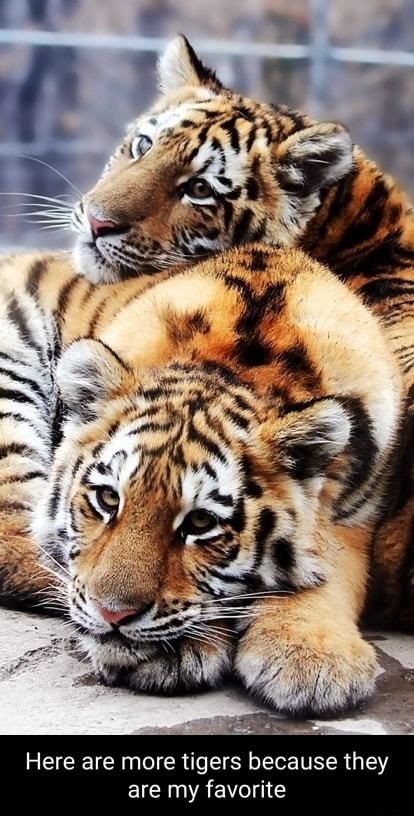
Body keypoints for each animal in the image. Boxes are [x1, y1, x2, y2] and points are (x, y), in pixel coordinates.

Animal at [0, 244, 407, 715]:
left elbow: (332, 571)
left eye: (199, 523)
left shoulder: (358, 514)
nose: (111, 614)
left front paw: (314, 660)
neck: (243, 366)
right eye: (107, 499)